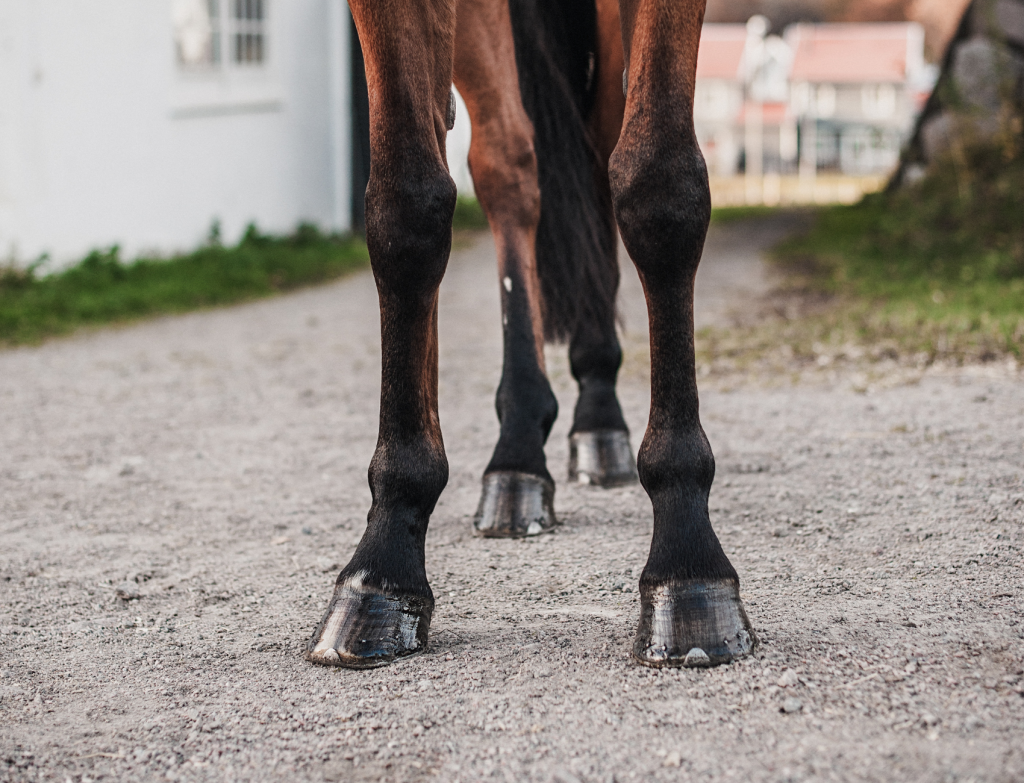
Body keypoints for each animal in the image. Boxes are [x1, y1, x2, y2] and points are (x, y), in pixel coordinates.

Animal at [306, 0, 756, 670]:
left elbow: (659, 185)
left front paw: (688, 563)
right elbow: (406, 209)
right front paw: (383, 565)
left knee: (599, 150)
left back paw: (598, 418)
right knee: (508, 166)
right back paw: (517, 453)